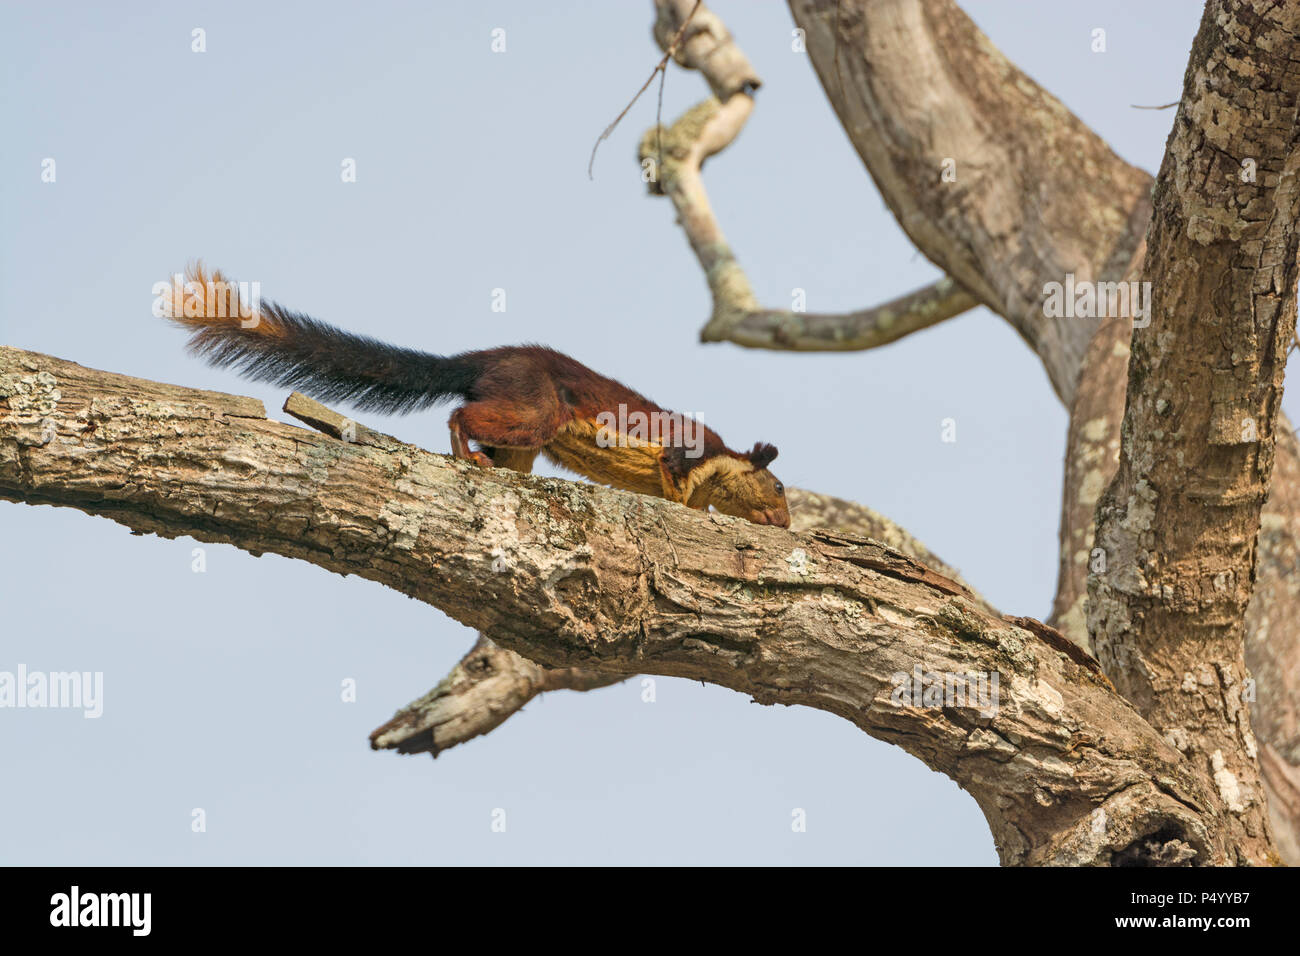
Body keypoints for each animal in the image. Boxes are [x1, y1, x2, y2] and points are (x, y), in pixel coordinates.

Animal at [159, 266, 790, 527]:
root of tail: (486, 361)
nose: (783, 522)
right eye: (780, 487)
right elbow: (675, 482)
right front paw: (694, 511)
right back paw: (466, 453)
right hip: (536, 408)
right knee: (464, 413)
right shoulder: (686, 452)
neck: (721, 465)